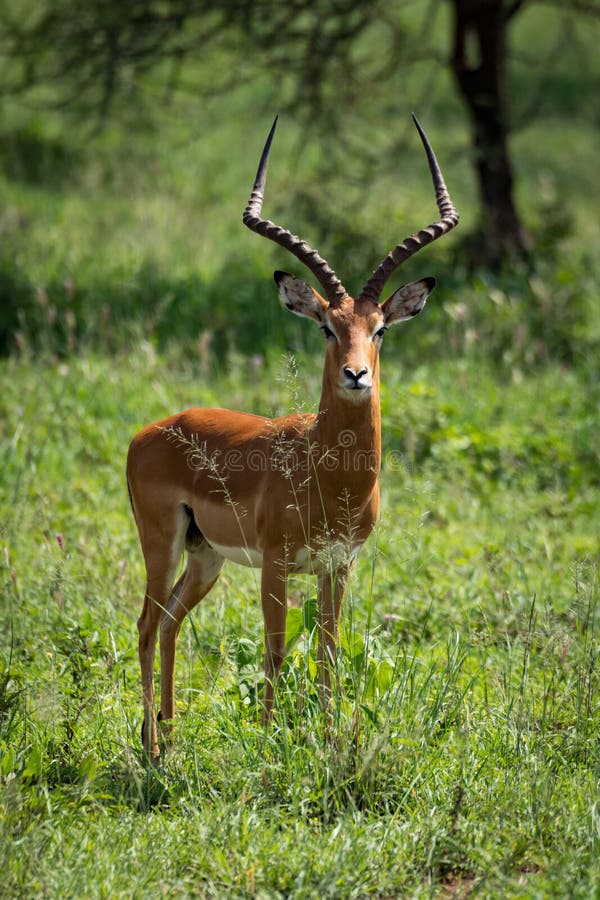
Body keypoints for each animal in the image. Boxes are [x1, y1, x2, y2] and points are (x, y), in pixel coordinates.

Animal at [127, 115, 458, 757]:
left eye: (379, 329)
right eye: (328, 326)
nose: (356, 375)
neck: (327, 475)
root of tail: (148, 433)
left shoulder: (338, 564)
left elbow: (328, 653)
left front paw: (329, 742)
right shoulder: (278, 563)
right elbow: (278, 651)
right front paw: (266, 744)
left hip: (206, 557)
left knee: (173, 620)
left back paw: (173, 737)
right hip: (162, 542)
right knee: (147, 624)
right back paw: (153, 749)